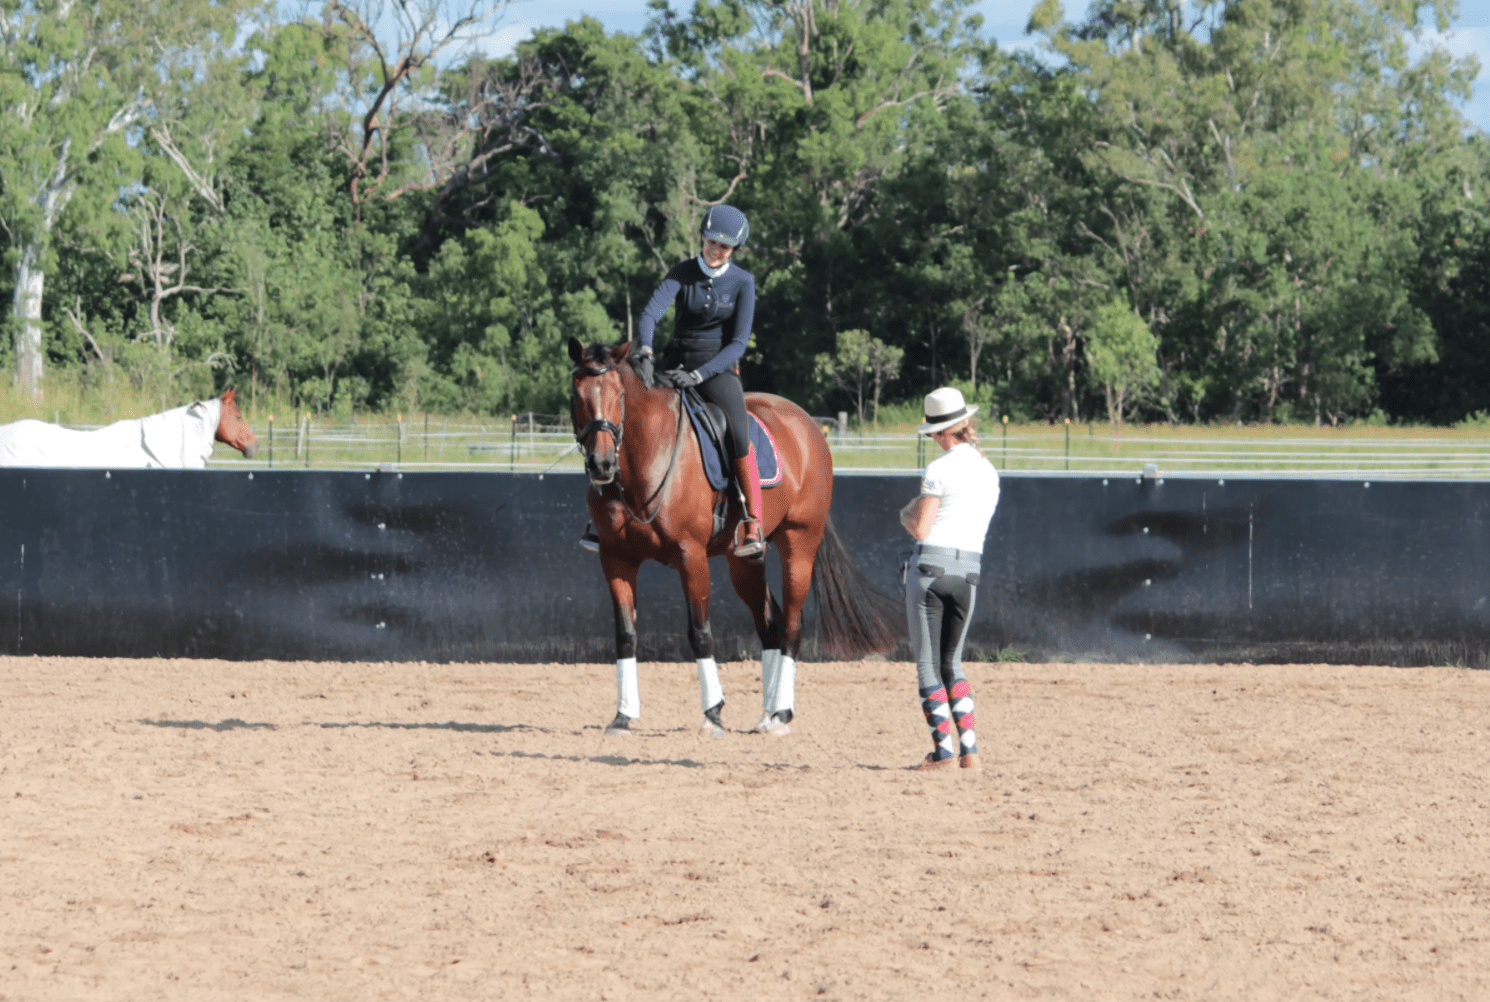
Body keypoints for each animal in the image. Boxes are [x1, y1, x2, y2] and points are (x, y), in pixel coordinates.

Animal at [567, 337, 899, 736]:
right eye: (575, 395)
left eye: (619, 395)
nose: (601, 464)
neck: (644, 459)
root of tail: (807, 425)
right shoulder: (616, 559)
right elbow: (625, 634)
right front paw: (623, 716)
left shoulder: (691, 556)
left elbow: (700, 632)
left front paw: (713, 713)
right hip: (744, 560)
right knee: (769, 622)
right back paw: (767, 713)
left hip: (799, 544)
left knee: (791, 625)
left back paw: (782, 714)